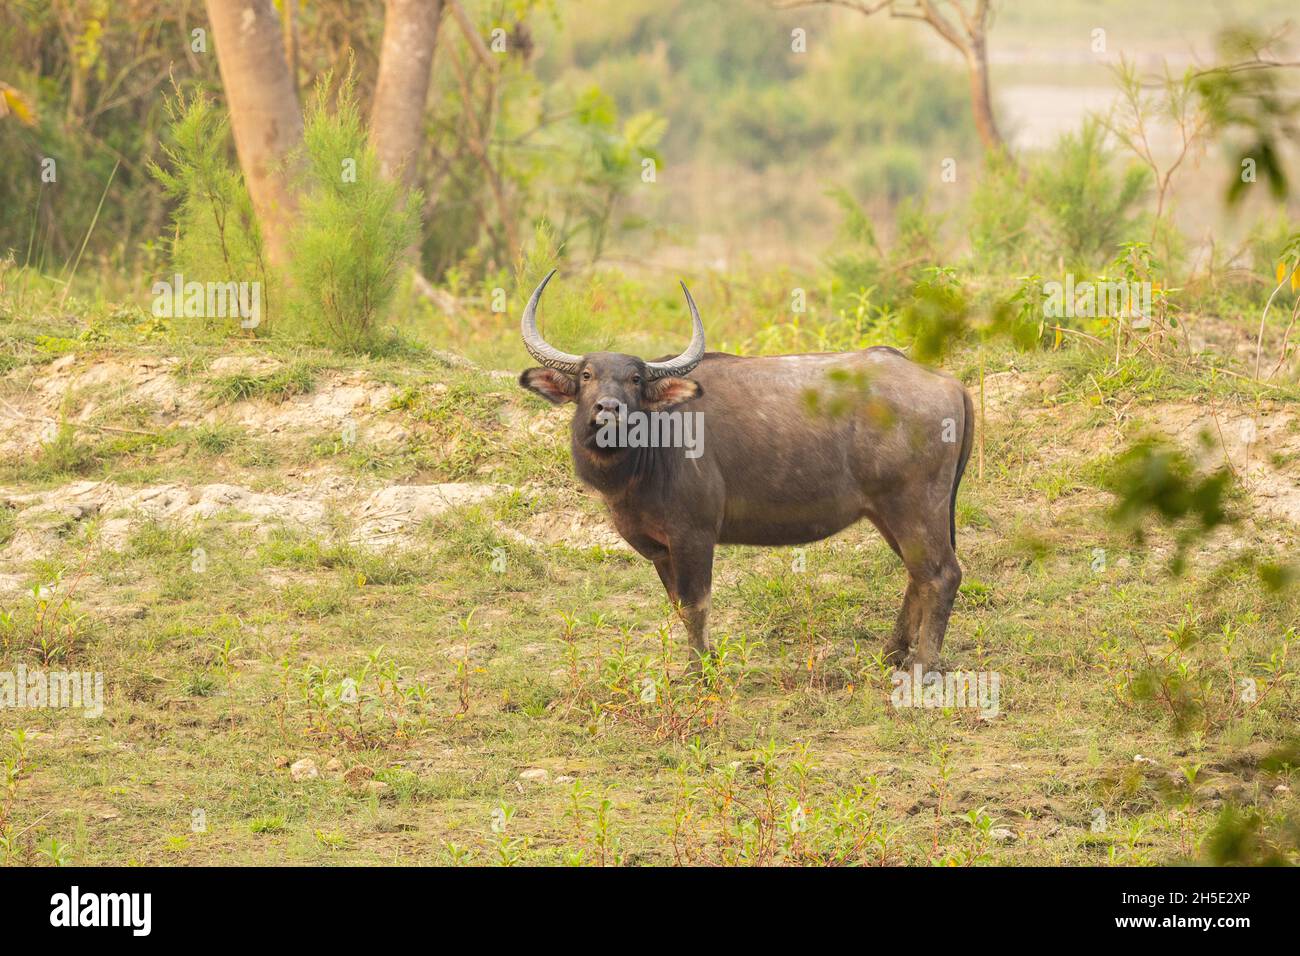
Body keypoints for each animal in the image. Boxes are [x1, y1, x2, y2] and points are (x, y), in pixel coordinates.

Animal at [518, 271, 974, 674]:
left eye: (634, 378)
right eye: (586, 375)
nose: (608, 409)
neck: (645, 456)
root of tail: (948, 383)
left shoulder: (695, 536)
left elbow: (696, 604)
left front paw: (699, 671)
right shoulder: (661, 549)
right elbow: (677, 605)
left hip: (916, 508)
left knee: (942, 575)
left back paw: (921, 663)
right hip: (888, 514)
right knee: (918, 575)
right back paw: (891, 653)